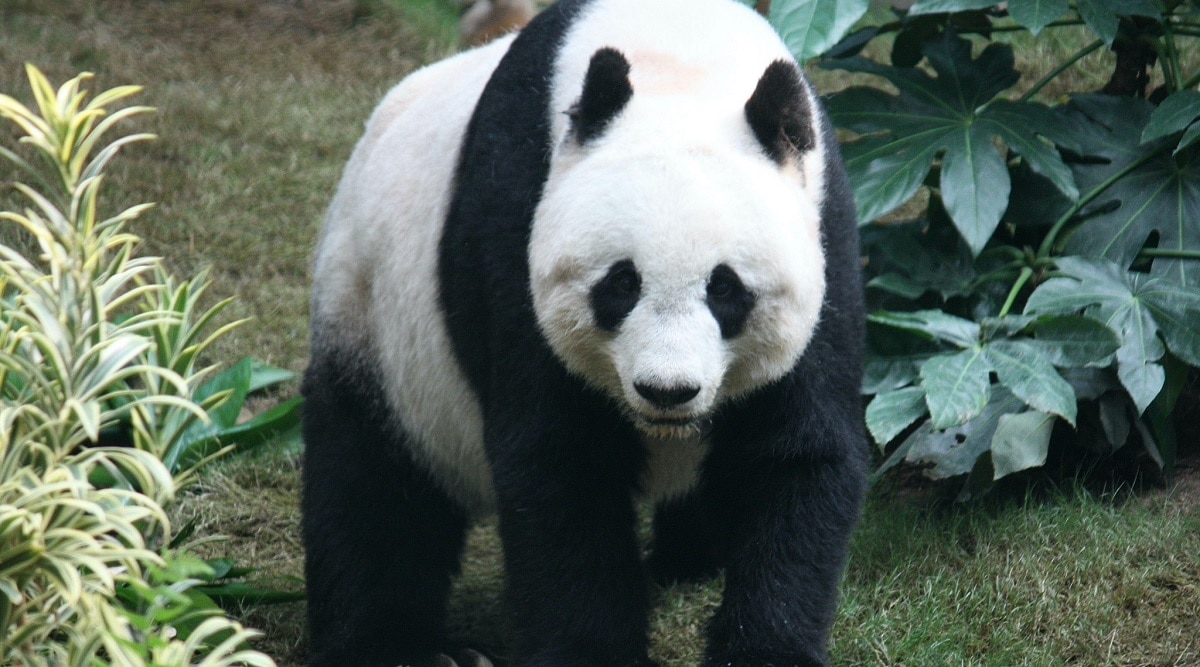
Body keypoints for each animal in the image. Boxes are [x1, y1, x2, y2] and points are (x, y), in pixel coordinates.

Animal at [300, 0, 868, 665]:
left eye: (725, 289)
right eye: (622, 283)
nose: (667, 390)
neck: (679, 59)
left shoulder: (827, 234)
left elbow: (794, 456)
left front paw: (765, 647)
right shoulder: (514, 218)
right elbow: (561, 464)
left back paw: (688, 560)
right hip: (375, 318)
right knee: (374, 485)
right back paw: (398, 646)